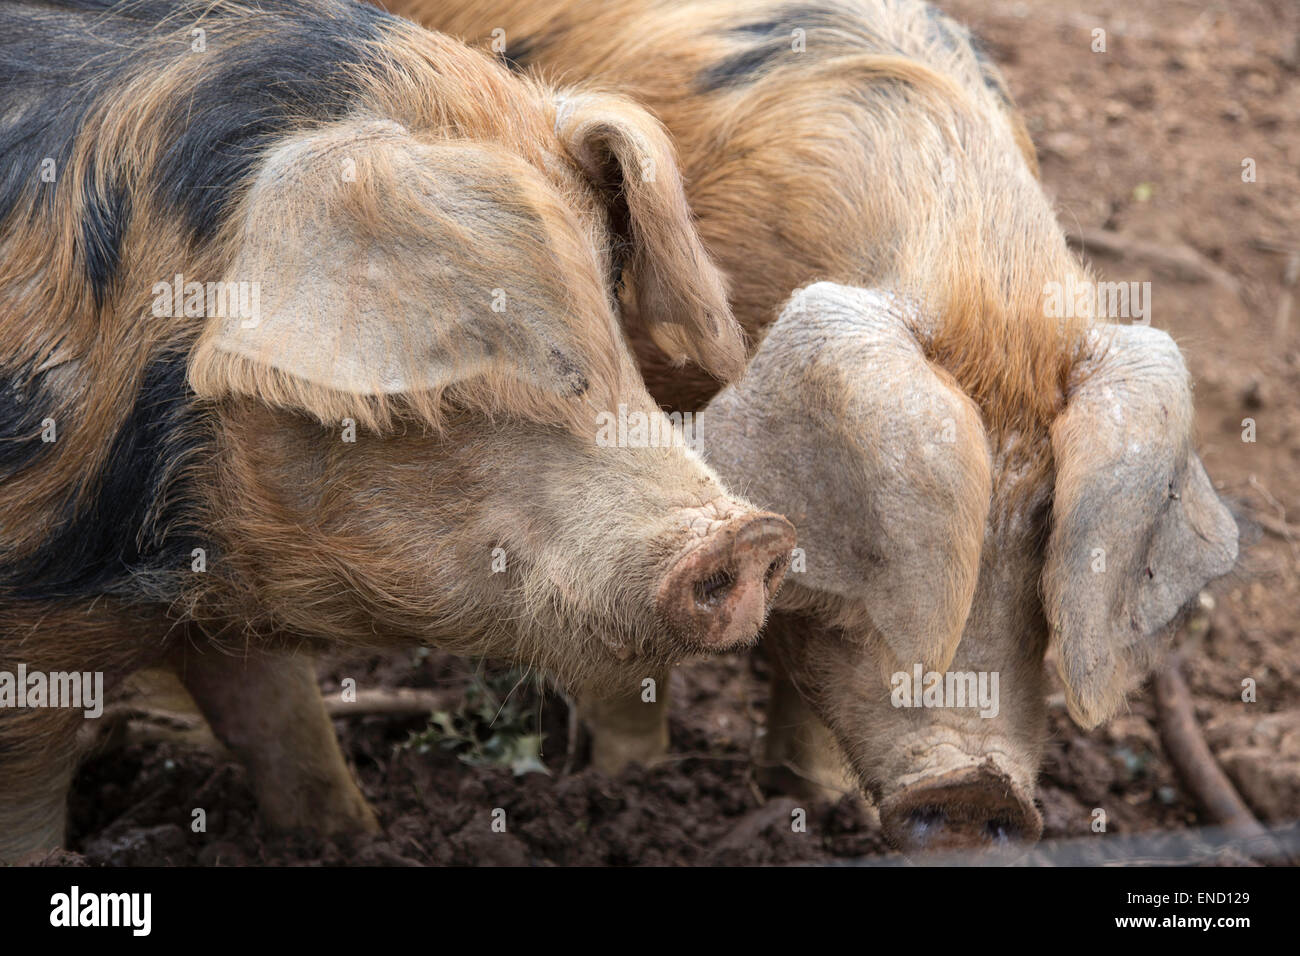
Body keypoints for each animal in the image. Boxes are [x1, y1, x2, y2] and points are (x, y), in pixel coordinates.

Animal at [0, 0, 794, 863]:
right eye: (491, 362)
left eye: (614, 317)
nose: (751, 534)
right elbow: (30, 809)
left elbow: (284, 724)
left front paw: (350, 834)